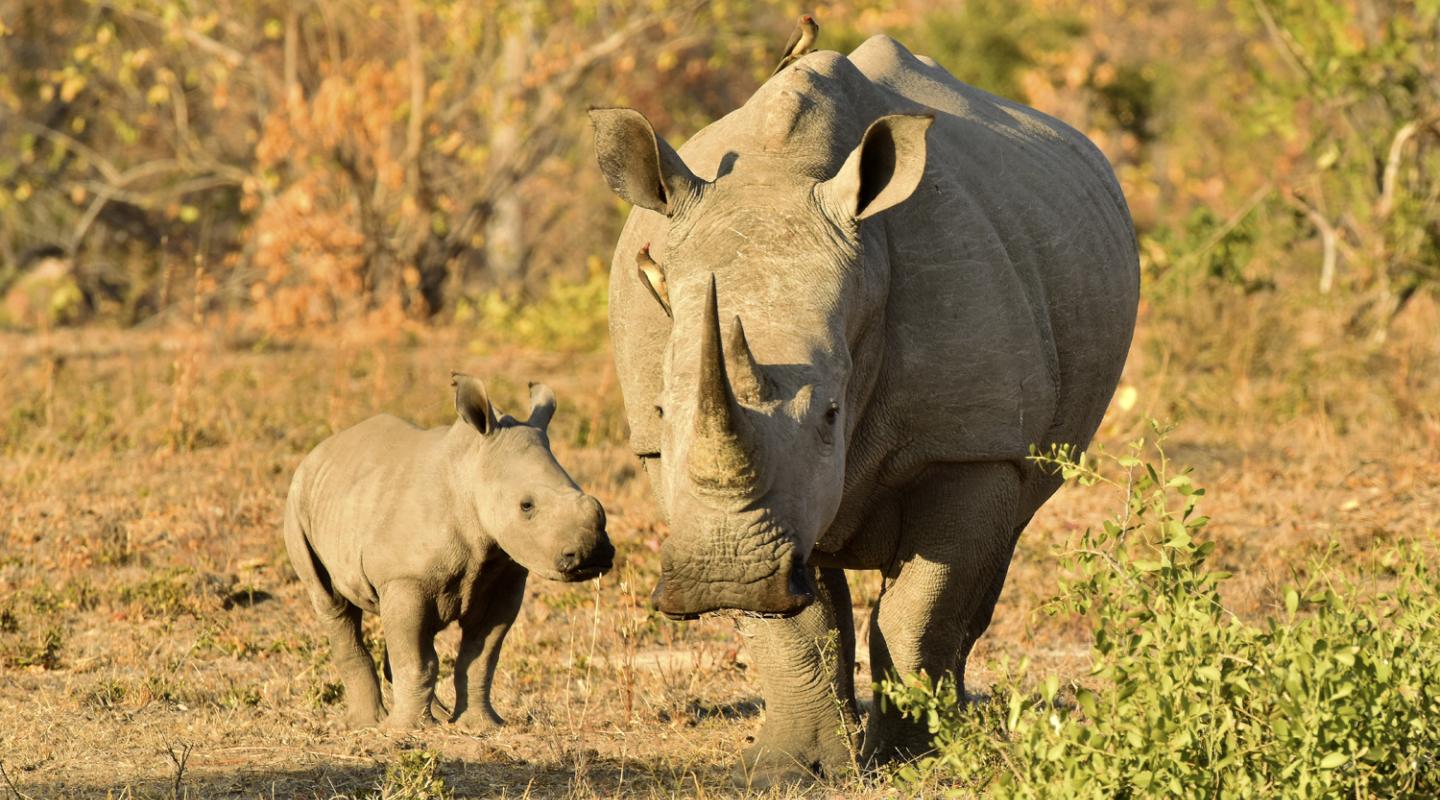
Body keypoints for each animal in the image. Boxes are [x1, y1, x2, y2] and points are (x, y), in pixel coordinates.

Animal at [284, 374, 614, 730]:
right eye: (526, 506)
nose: (591, 554)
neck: (470, 476)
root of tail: (320, 450)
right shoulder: (406, 578)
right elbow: (418, 659)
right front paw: (405, 730)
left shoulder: (504, 578)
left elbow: (479, 658)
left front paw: (482, 726)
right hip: (298, 500)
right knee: (333, 604)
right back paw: (367, 724)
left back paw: (435, 715)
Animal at [590, 35, 1139, 782]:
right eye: (662, 412)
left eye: (831, 415)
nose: (725, 573)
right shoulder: (689, 475)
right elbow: (796, 625)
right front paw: (792, 769)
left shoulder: (969, 441)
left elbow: (920, 607)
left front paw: (917, 758)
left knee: (997, 550)